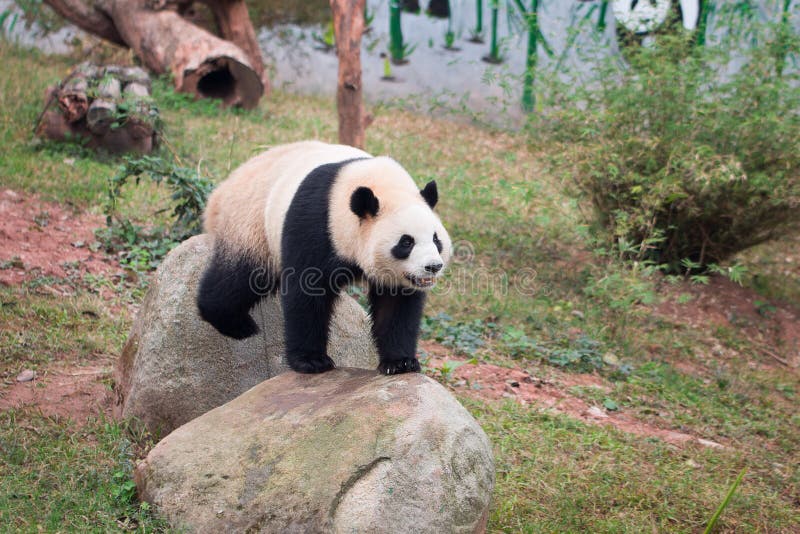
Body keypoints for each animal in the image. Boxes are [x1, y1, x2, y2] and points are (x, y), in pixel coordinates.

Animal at [197, 141, 452, 375]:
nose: (433, 266)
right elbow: (306, 292)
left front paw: (400, 362)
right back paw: (236, 324)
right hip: (252, 223)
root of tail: (221, 192)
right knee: (240, 278)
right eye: (406, 242)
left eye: (436, 239)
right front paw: (311, 361)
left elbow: (396, 305)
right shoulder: (316, 223)